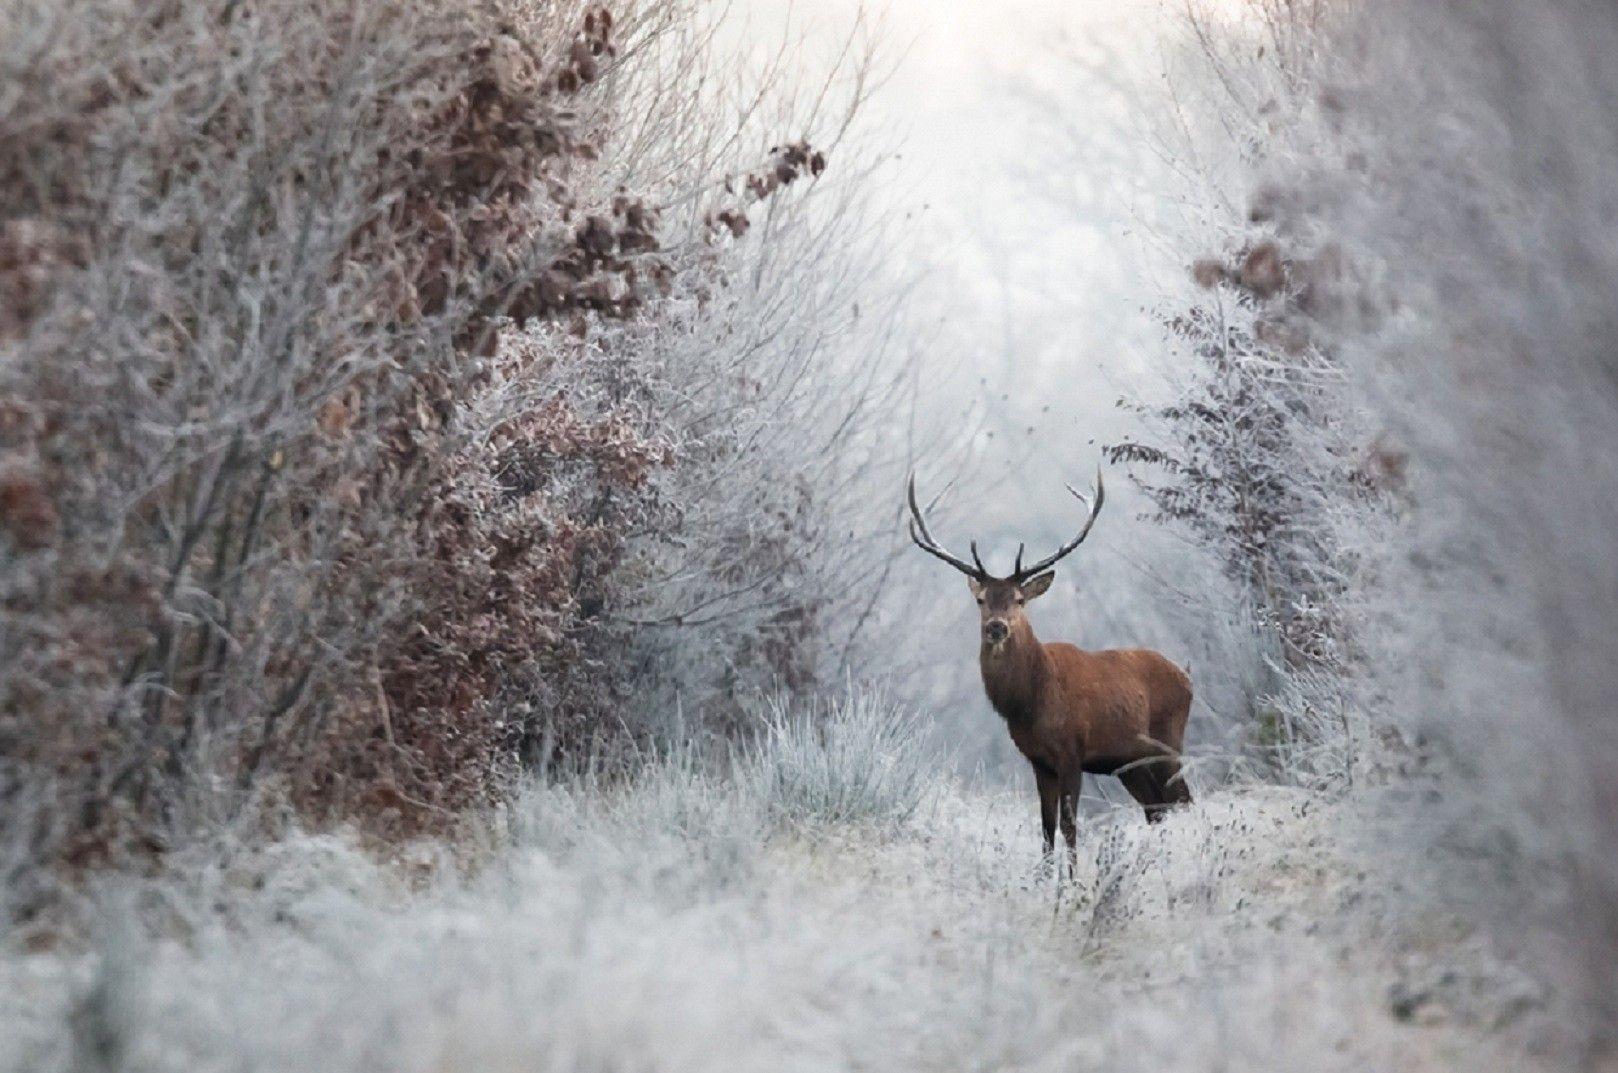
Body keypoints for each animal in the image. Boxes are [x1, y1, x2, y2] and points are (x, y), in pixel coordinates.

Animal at [906, 467, 1194, 865]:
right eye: (981, 599)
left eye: (1019, 599)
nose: (997, 627)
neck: (1031, 702)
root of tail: (1188, 679)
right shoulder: (1038, 760)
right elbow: (1045, 830)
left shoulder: (1072, 750)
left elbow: (1069, 827)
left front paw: (1073, 879)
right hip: (1129, 762)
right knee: (1157, 808)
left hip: (1168, 741)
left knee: (1182, 800)